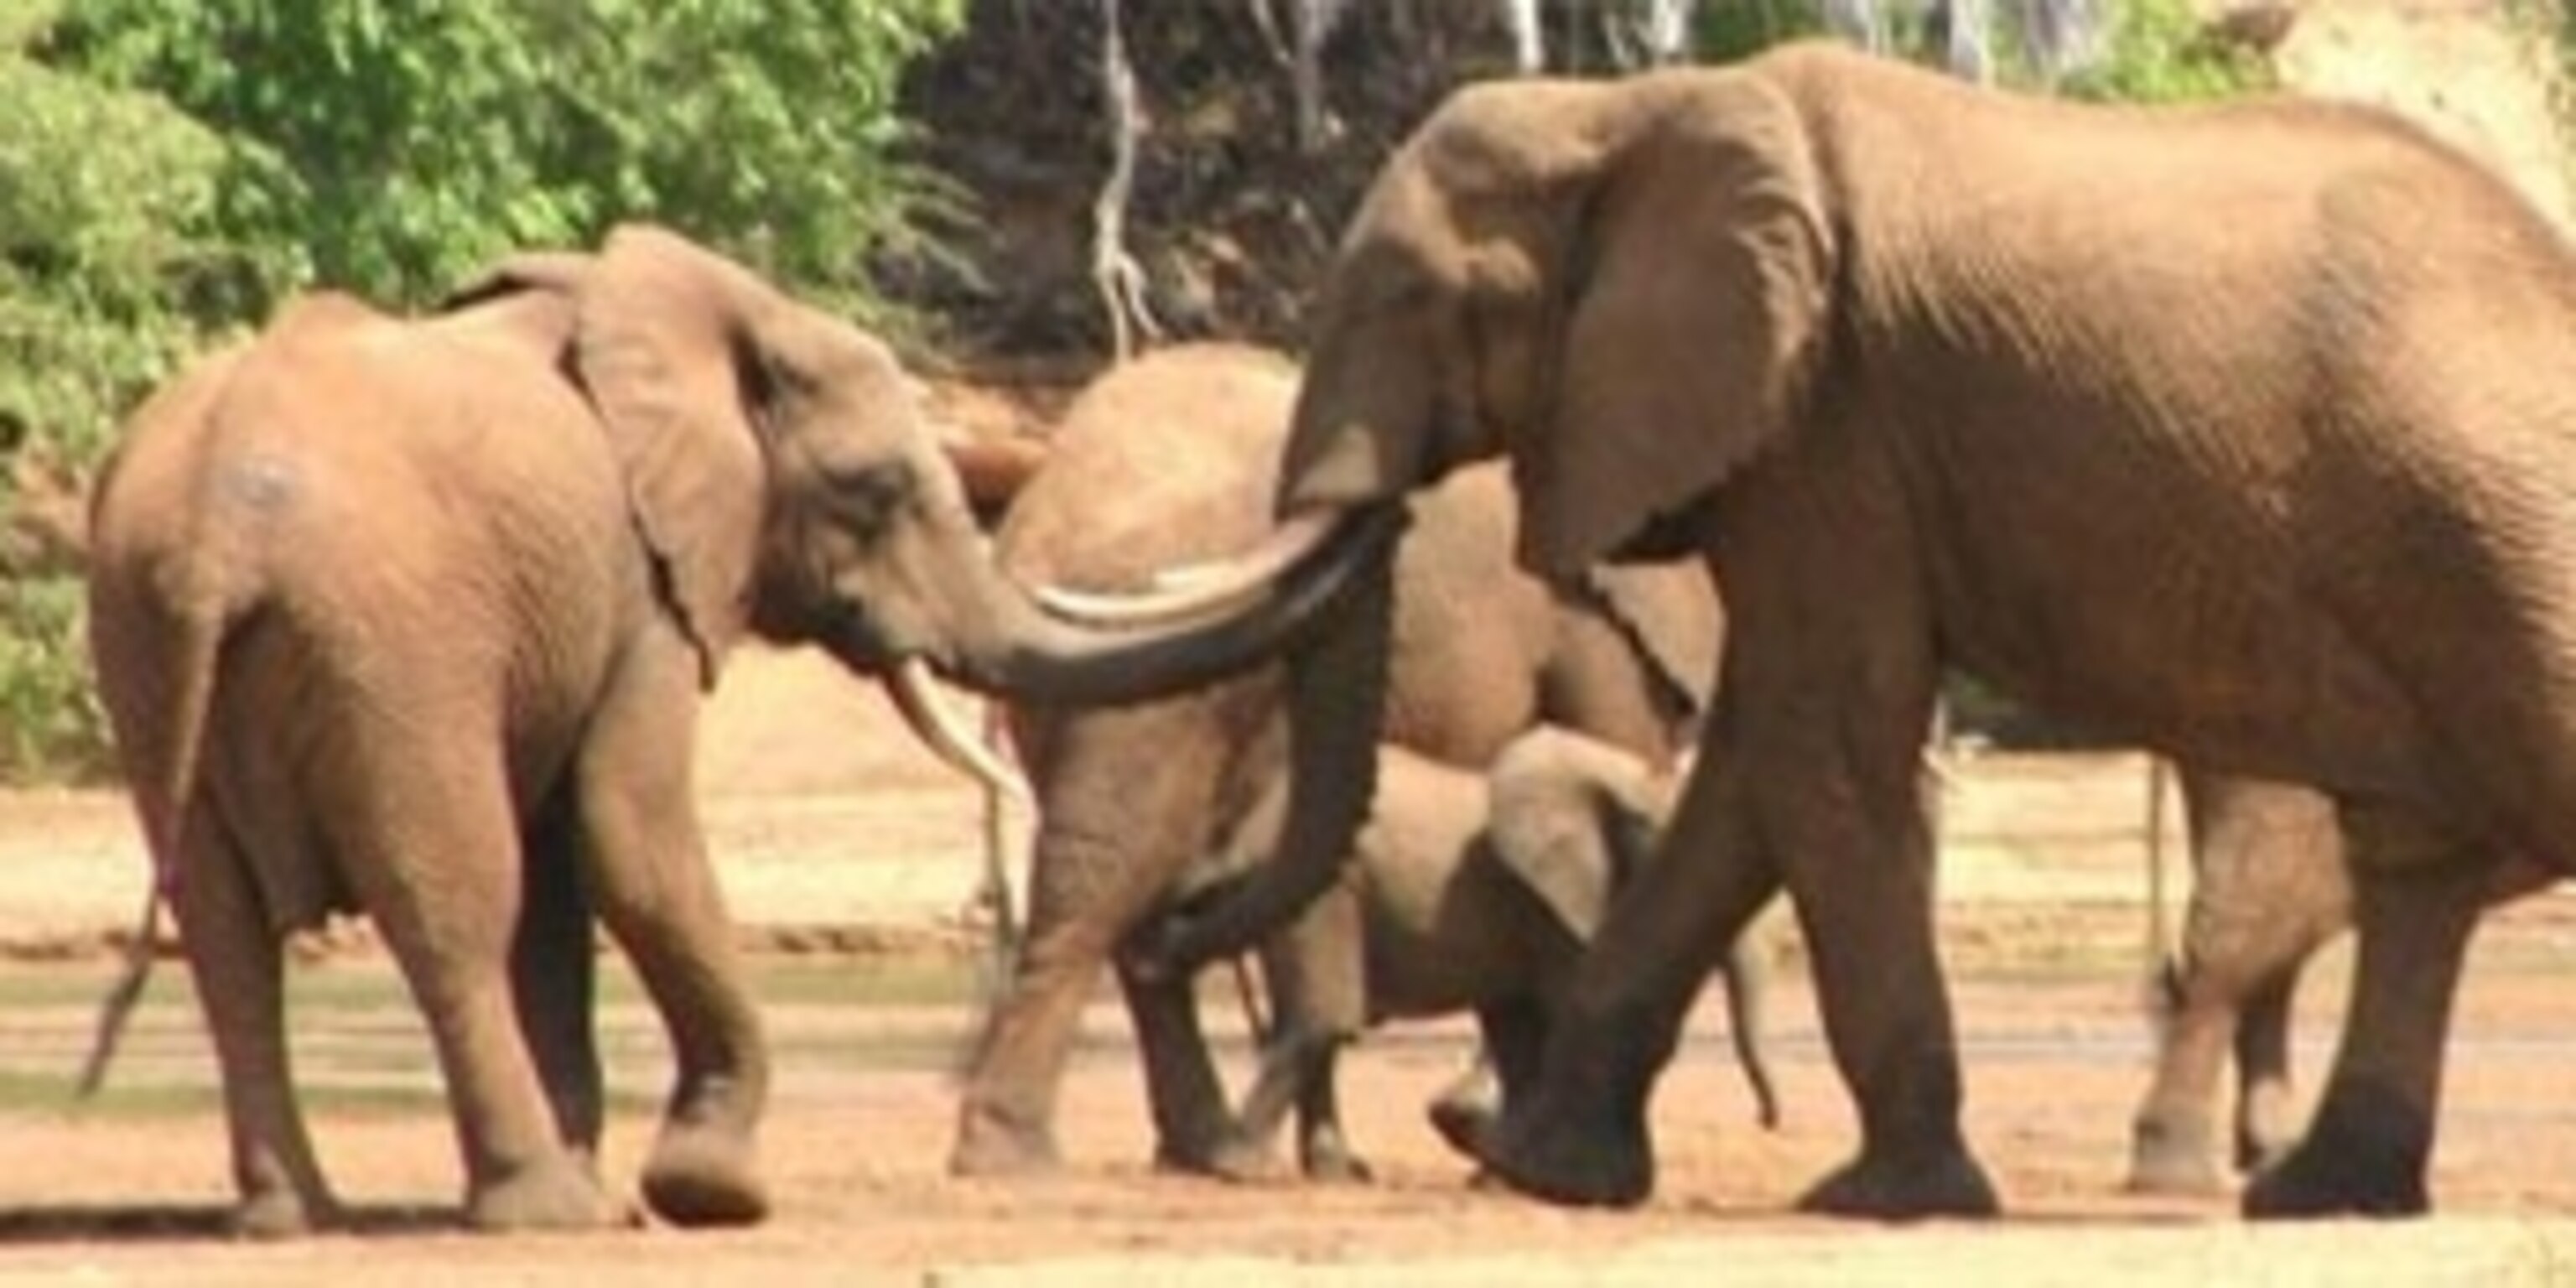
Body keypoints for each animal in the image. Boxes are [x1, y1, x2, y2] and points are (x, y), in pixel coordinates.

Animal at [82, 227, 1366, 1236]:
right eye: (876, 490)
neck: (713, 311)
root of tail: (215, 522)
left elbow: (566, 879)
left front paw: (635, 1178)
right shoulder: (645, 582)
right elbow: (624, 838)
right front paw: (708, 1190)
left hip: (145, 632)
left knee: (224, 931)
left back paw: (293, 1216)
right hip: (389, 644)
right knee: (449, 903)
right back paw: (541, 1211)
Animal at [1194, 726, 1778, 1180]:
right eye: (1664, 845)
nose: (1766, 1121)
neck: (1609, 769)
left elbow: (1519, 1029)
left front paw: (1503, 1171)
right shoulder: (1548, 903)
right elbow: (1555, 1014)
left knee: (1313, 1027)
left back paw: (1339, 1175)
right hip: (1325, 894)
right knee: (1322, 1021)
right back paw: (1243, 1168)